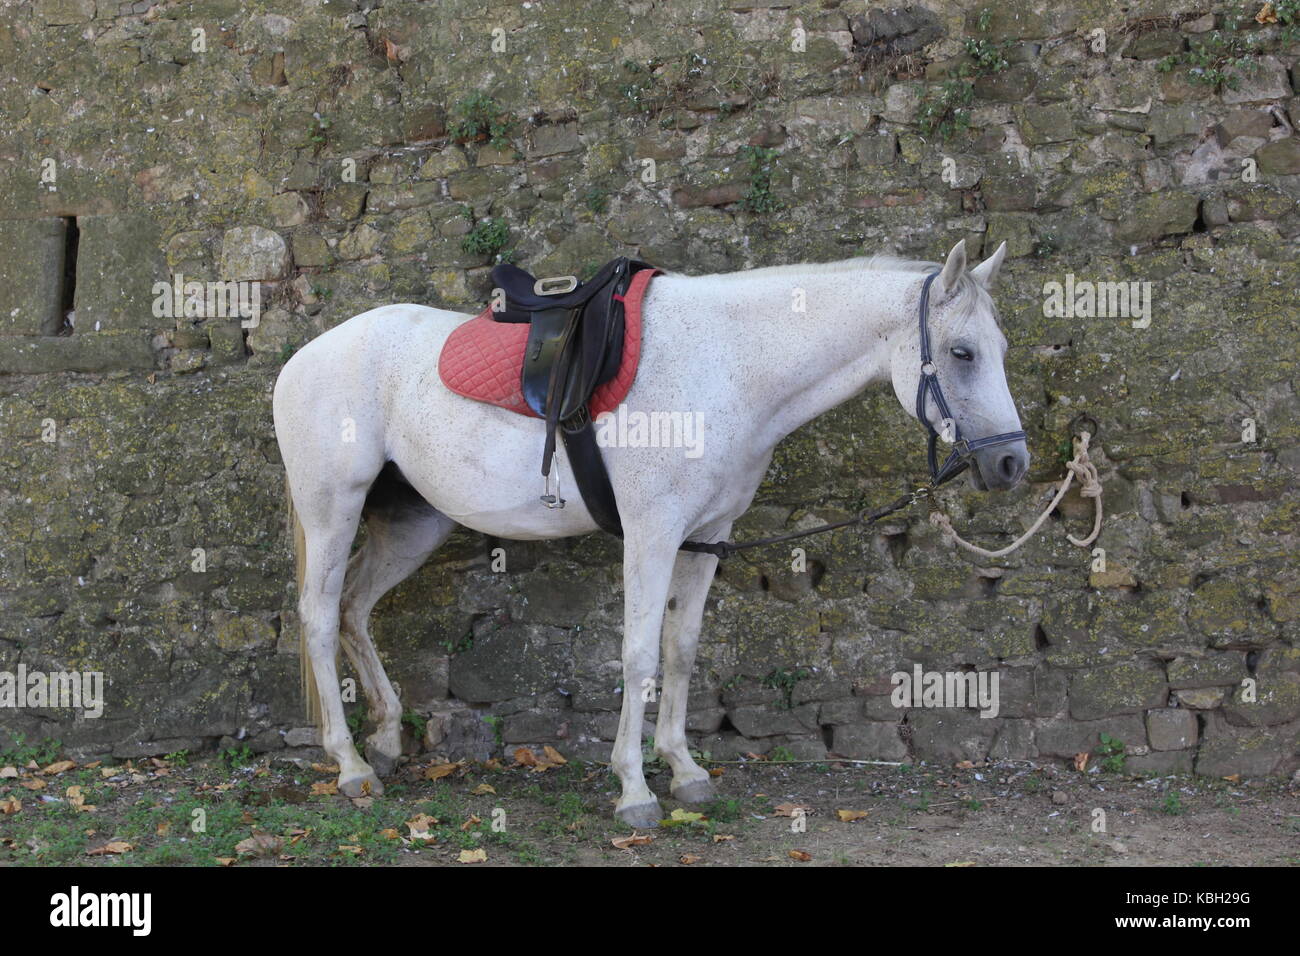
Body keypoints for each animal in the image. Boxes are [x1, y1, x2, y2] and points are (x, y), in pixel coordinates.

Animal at [272, 238, 1029, 827]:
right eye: (962, 352)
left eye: (998, 348)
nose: (1011, 464)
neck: (727, 366)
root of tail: (302, 359)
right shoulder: (652, 534)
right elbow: (637, 657)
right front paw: (634, 790)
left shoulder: (708, 536)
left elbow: (681, 651)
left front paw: (685, 769)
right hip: (332, 510)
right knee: (319, 617)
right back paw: (350, 766)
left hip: (412, 525)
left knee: (354, 609)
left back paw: (386, 738)